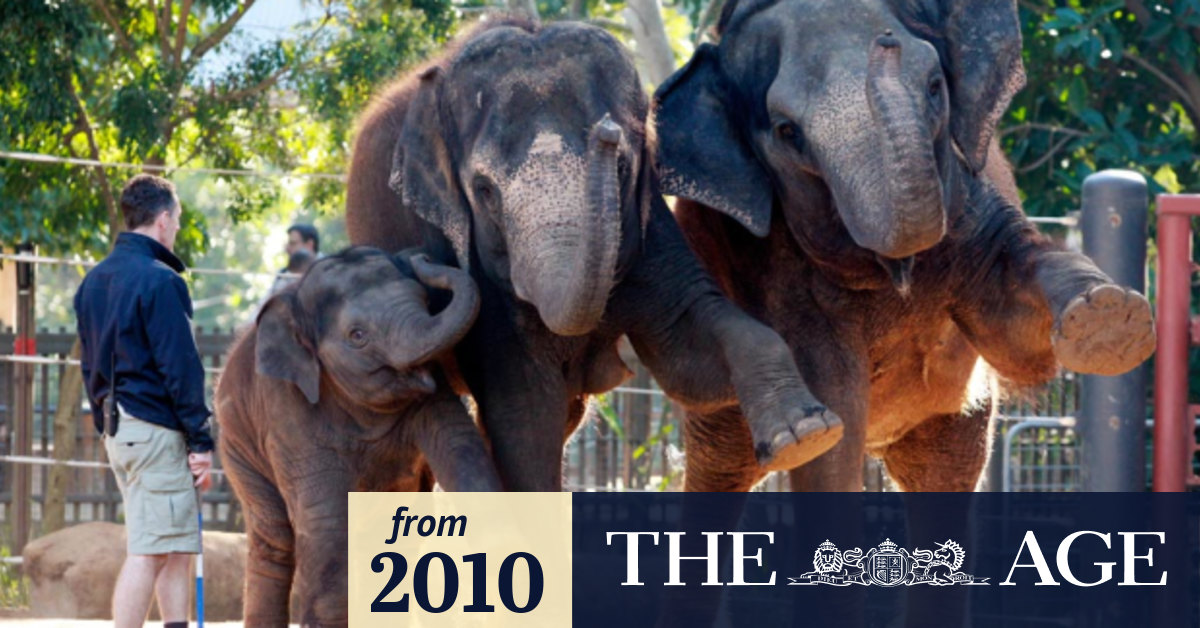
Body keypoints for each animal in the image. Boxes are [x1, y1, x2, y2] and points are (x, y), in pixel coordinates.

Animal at [215, 247, 501, 626]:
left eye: (425, 301)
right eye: (357, 336)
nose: (420, 256)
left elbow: (462, 450)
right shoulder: (287, 413)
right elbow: (326, 521)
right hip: (236, 450)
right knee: (273, 541)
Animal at [345, 17, 844, 491]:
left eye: (622, 165)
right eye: (484, 191)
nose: (605, 133)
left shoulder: (650, 224)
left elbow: (687, 350)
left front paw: (806, 434)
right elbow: (524, 412)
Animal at [652, 0, 1155, 492]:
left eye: (934, 86)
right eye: (787, 131)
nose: (887, 43)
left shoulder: (973, 203)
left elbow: (1013, 333)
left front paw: (1108, 319)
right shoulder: (769, 266)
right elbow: (833, 425)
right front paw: (815, 434)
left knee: (949, 469)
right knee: (722, 465)